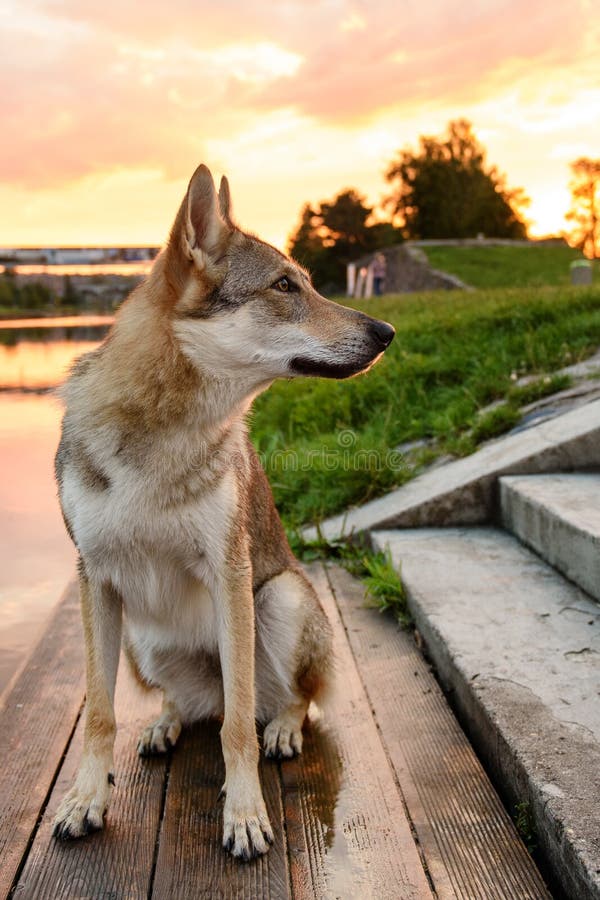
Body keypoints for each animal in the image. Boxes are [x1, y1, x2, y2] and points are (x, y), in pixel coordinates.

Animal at [52, 163, 395, 860]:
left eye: (309, 282)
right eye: (285, 286)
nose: (387, 333)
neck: (162, 431)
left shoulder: (230, 574)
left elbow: (237, 727)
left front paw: (243, 816)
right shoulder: (94, 578)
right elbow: (99, 712)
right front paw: (85, 801)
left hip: (278, 599)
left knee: (283, 700)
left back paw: (283, 730)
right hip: (140, 637)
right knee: (189, 706)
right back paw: (162, 725)